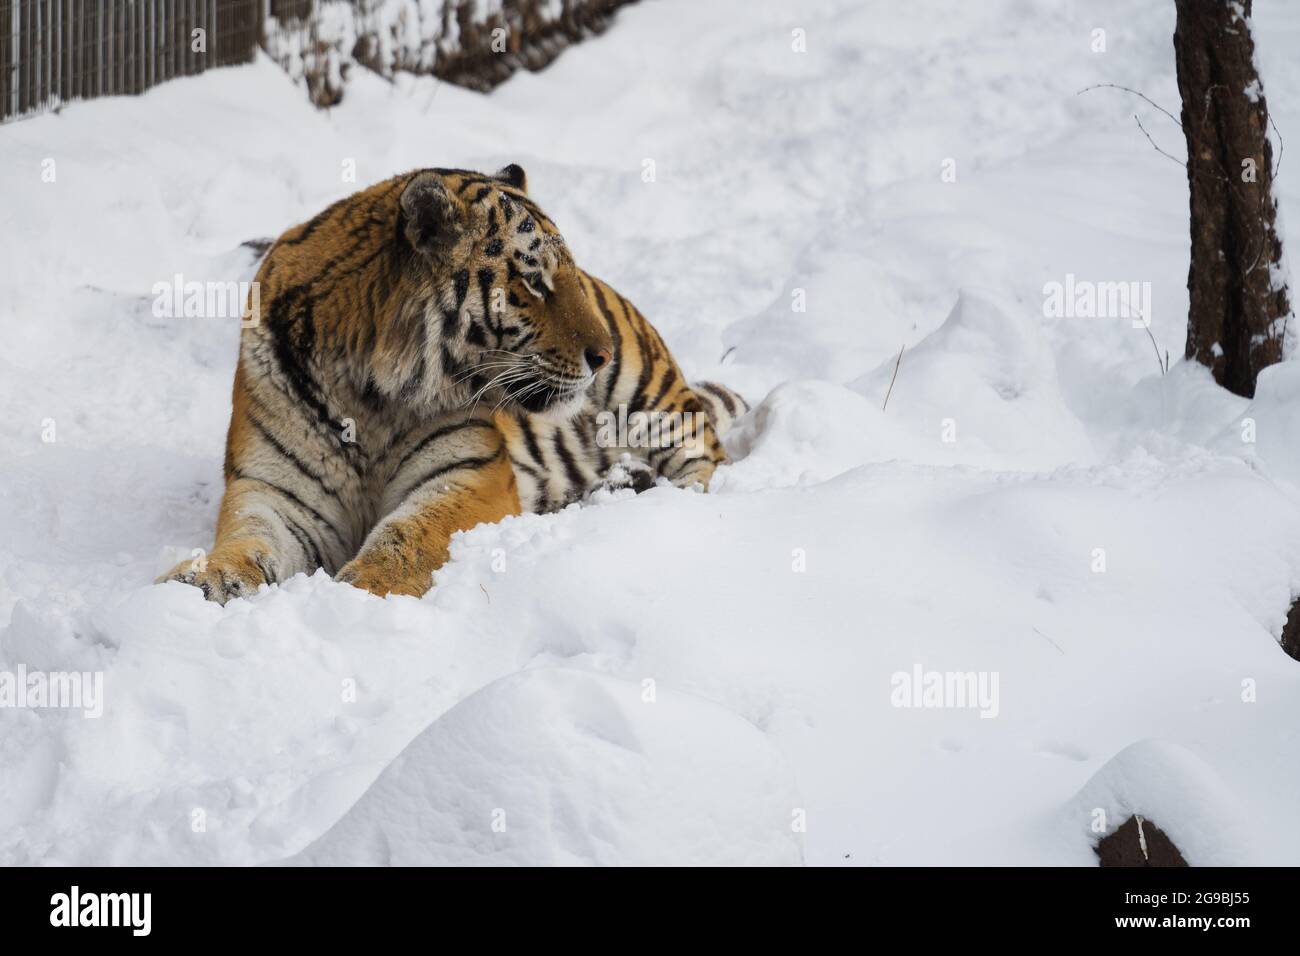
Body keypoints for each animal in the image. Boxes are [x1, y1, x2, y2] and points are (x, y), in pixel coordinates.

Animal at [158, 164, 748, 603]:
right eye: (534, 282)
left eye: (566, 276)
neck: (367, 395)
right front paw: (201, 581)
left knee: (705, 455)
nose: (600, 355)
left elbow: (406, 537)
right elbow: (247, 540)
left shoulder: (467, 476)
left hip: (645, 393)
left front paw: (358, 592)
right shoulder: (273, 490)